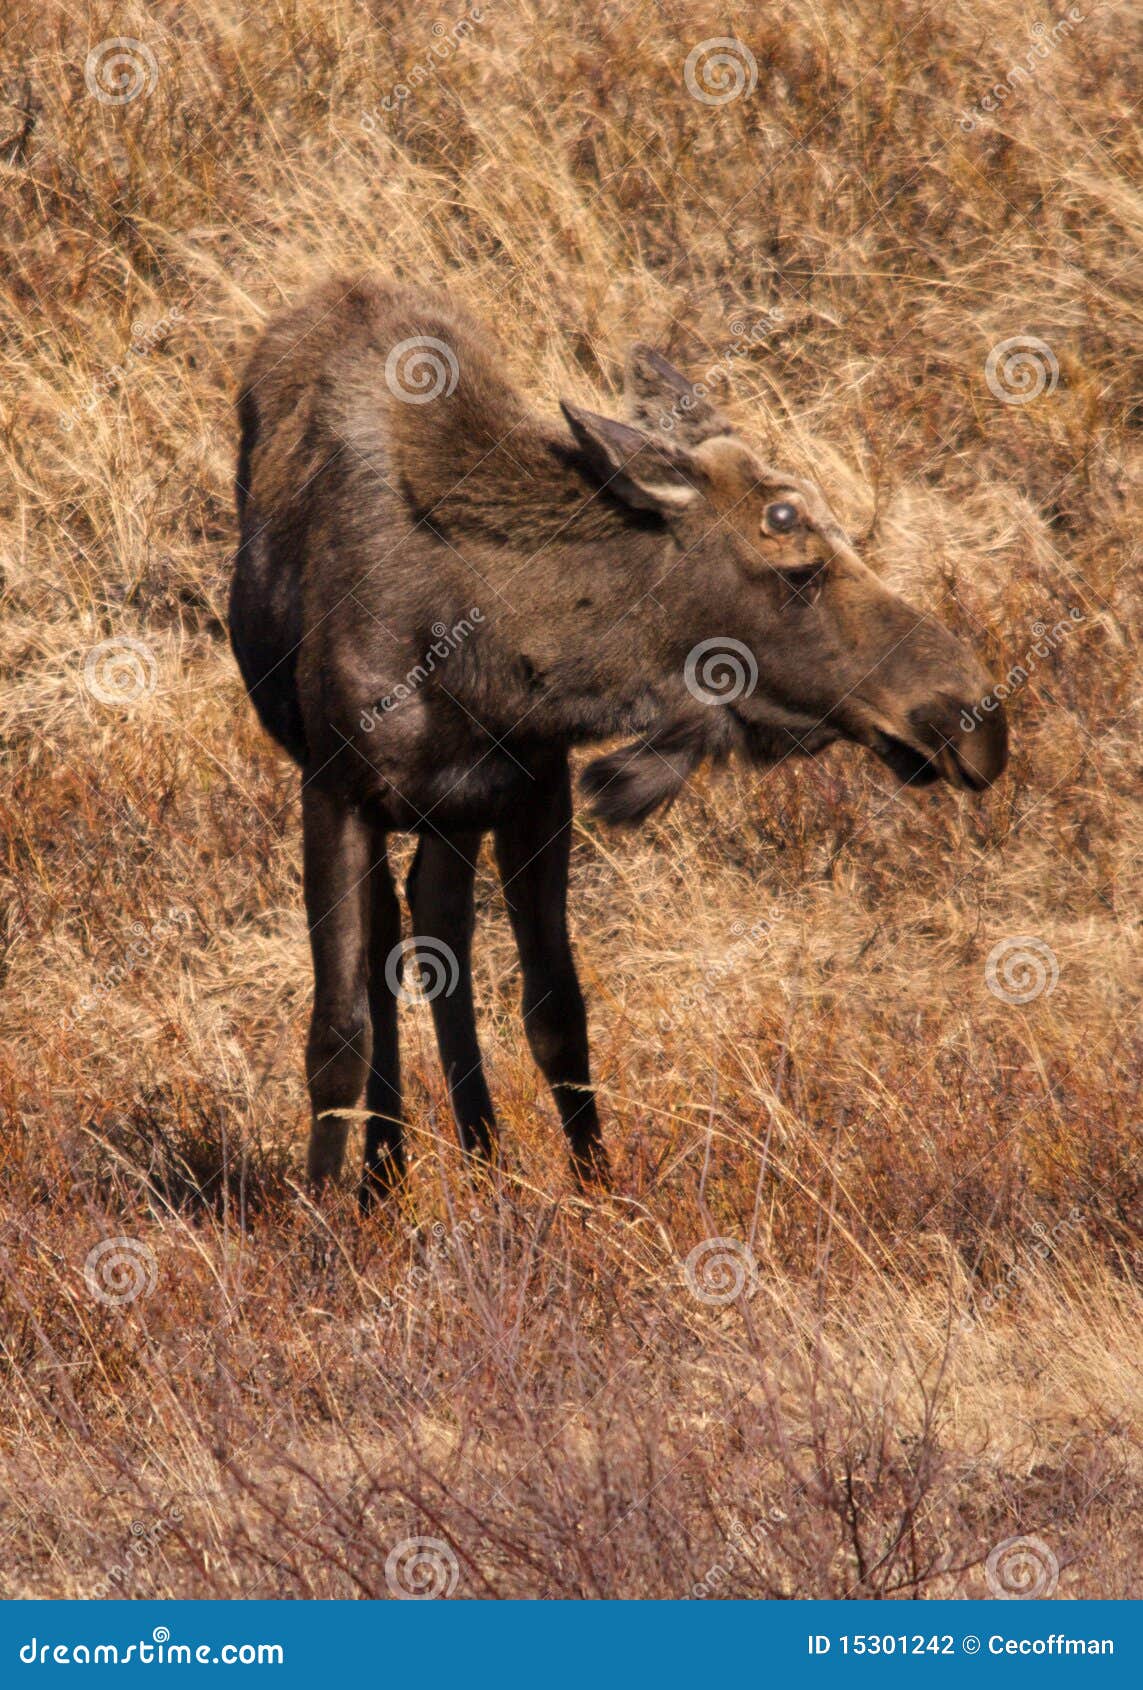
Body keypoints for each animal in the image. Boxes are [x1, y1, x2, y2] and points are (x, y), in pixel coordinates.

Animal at [228, 274, 1008, 1209]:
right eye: (796, 569)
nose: (976, 720)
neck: (477, 649)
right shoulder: (335, 789)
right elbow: (336, 1035)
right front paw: (322, 1216)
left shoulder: (535, 788)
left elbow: (557, 1010)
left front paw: (596, 1196)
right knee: (386, 947)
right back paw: (385, 1177)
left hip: (453, 813)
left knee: (437, 923)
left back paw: (477, 1156)